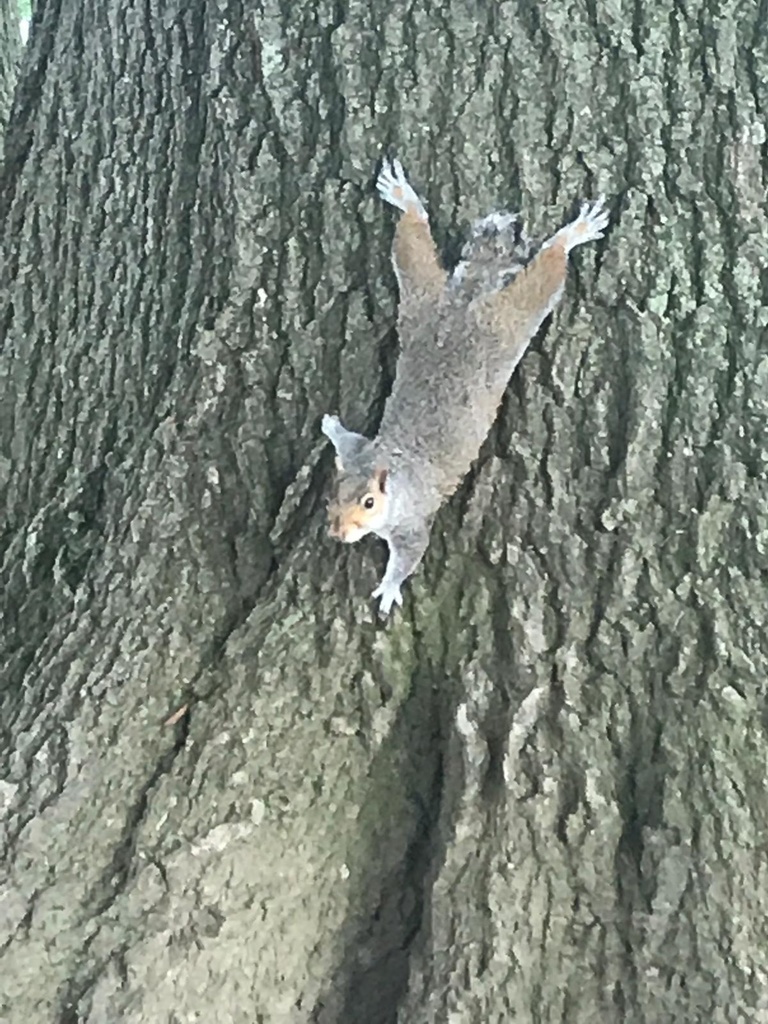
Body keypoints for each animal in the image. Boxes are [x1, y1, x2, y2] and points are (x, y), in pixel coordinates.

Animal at [322, 157, 610, 616]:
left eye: (368, 503)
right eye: (333, 493)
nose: (338, 532)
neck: (391, 473)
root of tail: (466, 307)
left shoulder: (411, 522)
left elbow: (408, 556)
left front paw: (388, 588)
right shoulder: (360, 449)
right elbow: (347, 439)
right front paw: (330, 426)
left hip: (510, 321)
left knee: (545, 275)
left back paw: (573, 233)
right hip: (423, 299)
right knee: (413, 247)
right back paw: (404, 197)